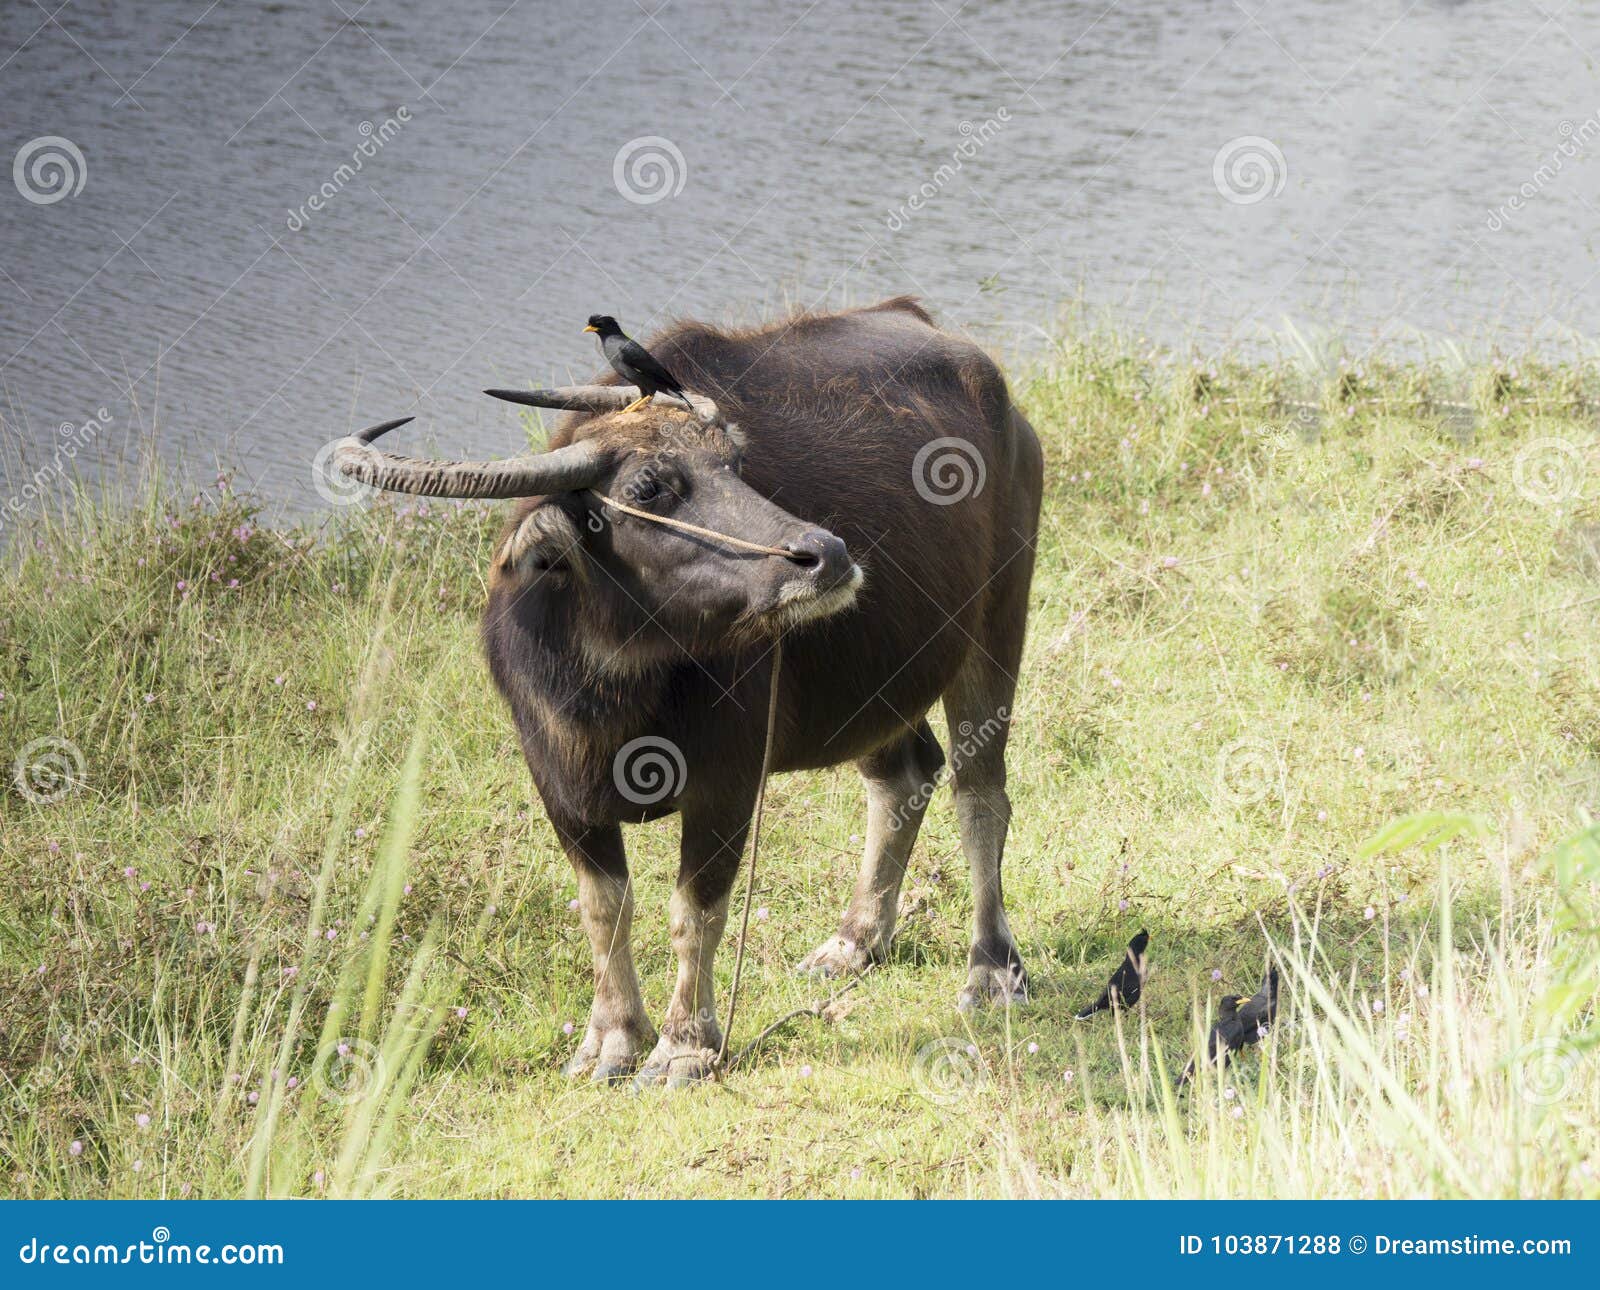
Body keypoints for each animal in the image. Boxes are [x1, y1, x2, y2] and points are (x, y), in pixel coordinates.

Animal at [335, 297, 1043, 1086]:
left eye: (733, 464)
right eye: (648, 489)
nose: (825, 555)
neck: (614, 685)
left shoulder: (726, 784)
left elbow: (695, 912)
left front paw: (684, 1045)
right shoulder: (559, 786)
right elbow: (603, 907)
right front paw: (612, 1039)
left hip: (996, 626)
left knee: (980, 793)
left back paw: (992, 969)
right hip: (879, 683)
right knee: (904, 776)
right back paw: (855, 941)